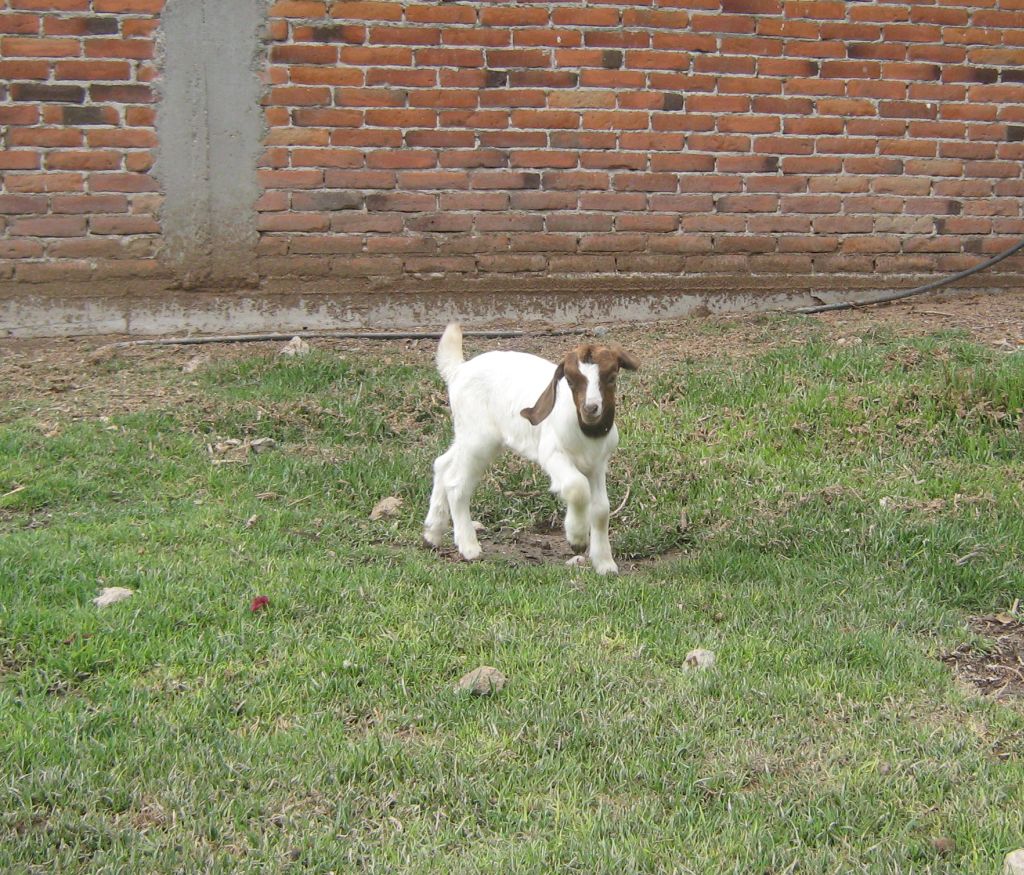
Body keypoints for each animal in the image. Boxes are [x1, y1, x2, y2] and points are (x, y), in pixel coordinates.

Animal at [423, 323, 639, 575]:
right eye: (571, 381)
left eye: (612, 377)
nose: (590, 408)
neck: (588, 433)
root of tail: (458, 370)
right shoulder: (552, 453)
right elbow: (576, 487)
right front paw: (576, 538)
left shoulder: (597, 464)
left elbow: (601, 510)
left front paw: (605, 563)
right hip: (478, 437)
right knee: (456, 483)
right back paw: (469, 547)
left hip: (469, 435)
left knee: (443, 463)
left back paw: (432, 532)